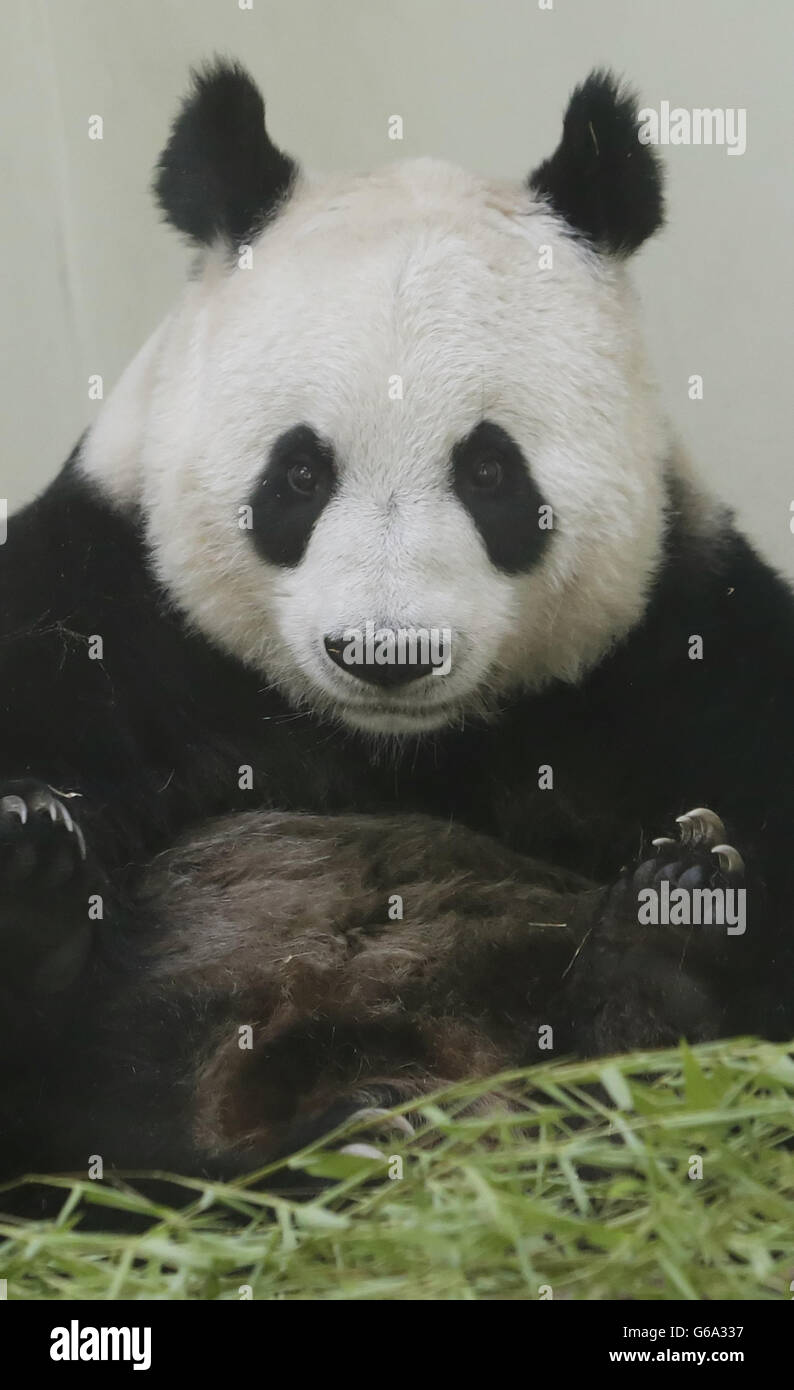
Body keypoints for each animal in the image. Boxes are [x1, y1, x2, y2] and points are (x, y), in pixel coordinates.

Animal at [1, 60, 793, 1187]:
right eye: (299, 473)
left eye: (490, 471)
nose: (387, 655)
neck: (390, 745)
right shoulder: (111, 594)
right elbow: (44, 702)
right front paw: (32, 834)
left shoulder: (680, 642)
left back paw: (666, 944)